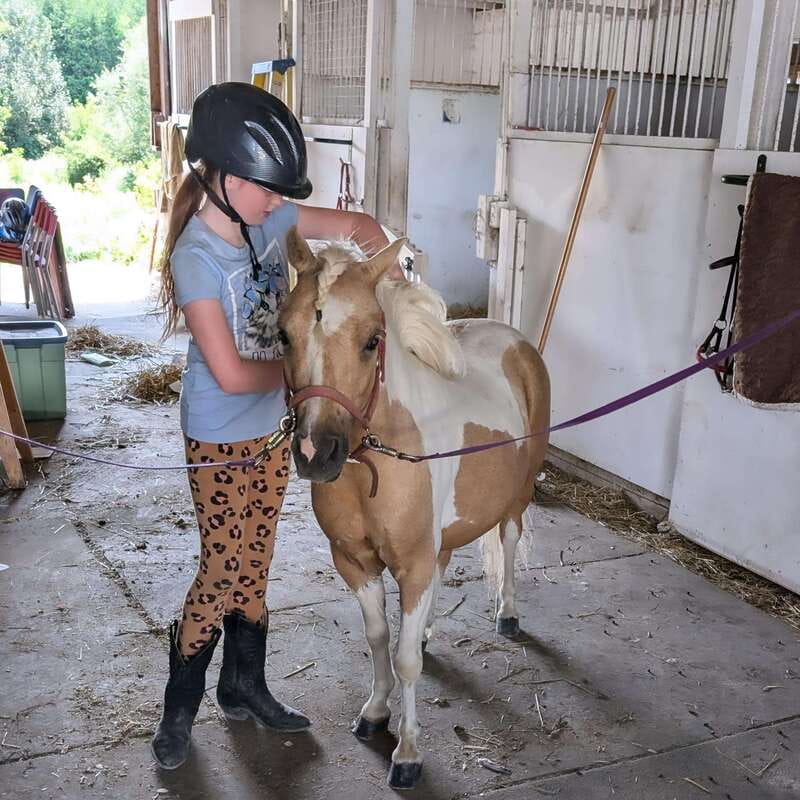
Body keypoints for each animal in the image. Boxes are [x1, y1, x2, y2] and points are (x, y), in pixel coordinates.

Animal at [278, 228, 550, 789]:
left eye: (371, 340)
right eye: (283, 335)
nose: (316, 453)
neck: (374, 467)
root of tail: (514, 340)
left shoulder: (413, 563)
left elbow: (404, 663)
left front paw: (406, 753)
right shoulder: (356, 562)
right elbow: (380, 638)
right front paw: (375, 712)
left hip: (516, 497)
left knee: (509, 542)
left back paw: (508, 614)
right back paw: (426, 629)